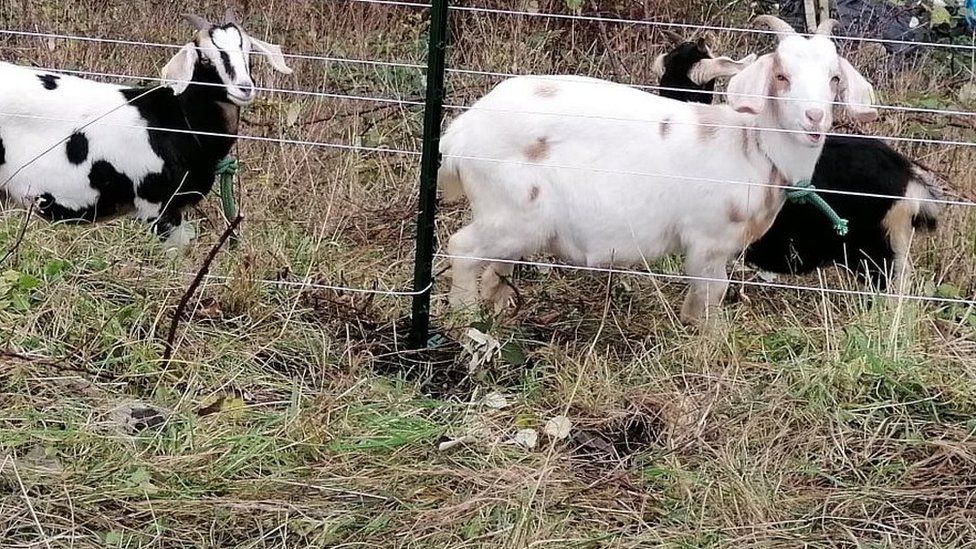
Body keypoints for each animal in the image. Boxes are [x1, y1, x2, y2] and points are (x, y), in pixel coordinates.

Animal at [439, 16, 878, 324]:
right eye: (782, 76)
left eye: (834, 78)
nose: (814, 117)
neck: (752, 144)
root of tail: (459, 134)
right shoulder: (707, 240)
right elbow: (712, 294)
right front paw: (708, 340)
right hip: (510, 212)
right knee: (462, 250)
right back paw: (465, 321)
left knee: (496, 266)